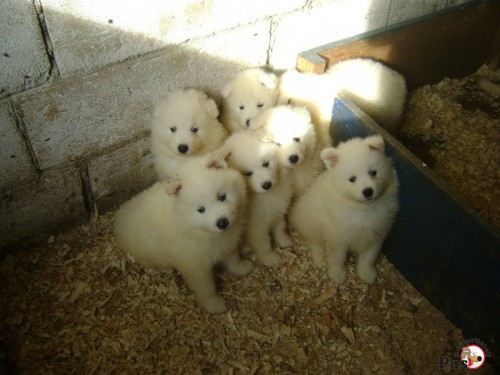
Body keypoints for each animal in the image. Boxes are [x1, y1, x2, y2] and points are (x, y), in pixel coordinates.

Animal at [114, 154, 252, 312]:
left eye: (222, 197)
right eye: (201, 210)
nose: (222, 222)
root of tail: (118, 218)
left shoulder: (227, 244)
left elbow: (233, 258)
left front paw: (242, 268)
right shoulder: (196, 268)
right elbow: (206, 289)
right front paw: (215, 305)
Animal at [218, 131, 292, 268]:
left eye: (266, 163)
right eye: (248, 173)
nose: (267, 184)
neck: (266, 196)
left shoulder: (277, 213)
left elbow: (280, 229)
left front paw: (285, 241)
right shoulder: (257, 228)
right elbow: (264, 245)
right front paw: (271, 259)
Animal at [290, 135, 398, 284]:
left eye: (373, 173)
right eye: (352, 179)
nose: (368, 191)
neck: (363, 209)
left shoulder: (376, 237)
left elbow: (368, 258)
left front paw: (367, 274)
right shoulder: (337, 238)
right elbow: (338, 258)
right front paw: (338, 274)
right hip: (311, 226)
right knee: (313, 244)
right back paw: (320, 260)